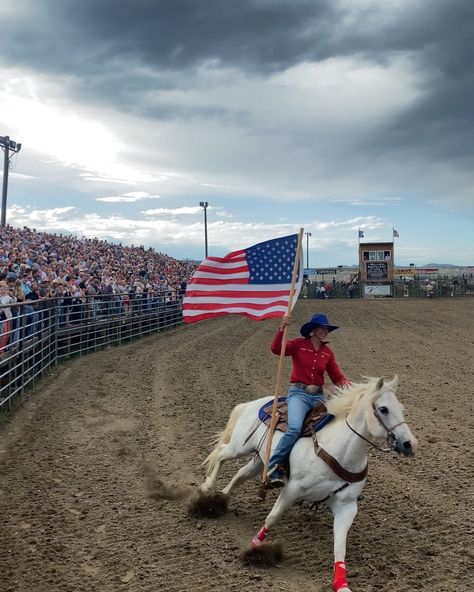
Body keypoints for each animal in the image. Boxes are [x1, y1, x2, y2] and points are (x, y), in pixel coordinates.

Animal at [198, 376, 416, 588]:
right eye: (383, 409)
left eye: (402, 408)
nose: (409, 444)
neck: (340, 451)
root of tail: (254, 403)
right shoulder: (292, 490)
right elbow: (272, 518)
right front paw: (254, 548)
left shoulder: (346, 507)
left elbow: (340, 546)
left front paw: (341, 583)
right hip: (240, 447)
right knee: (221, 454)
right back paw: (207, 489)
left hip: (261, 461)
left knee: (240, 474)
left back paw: (220, 498)